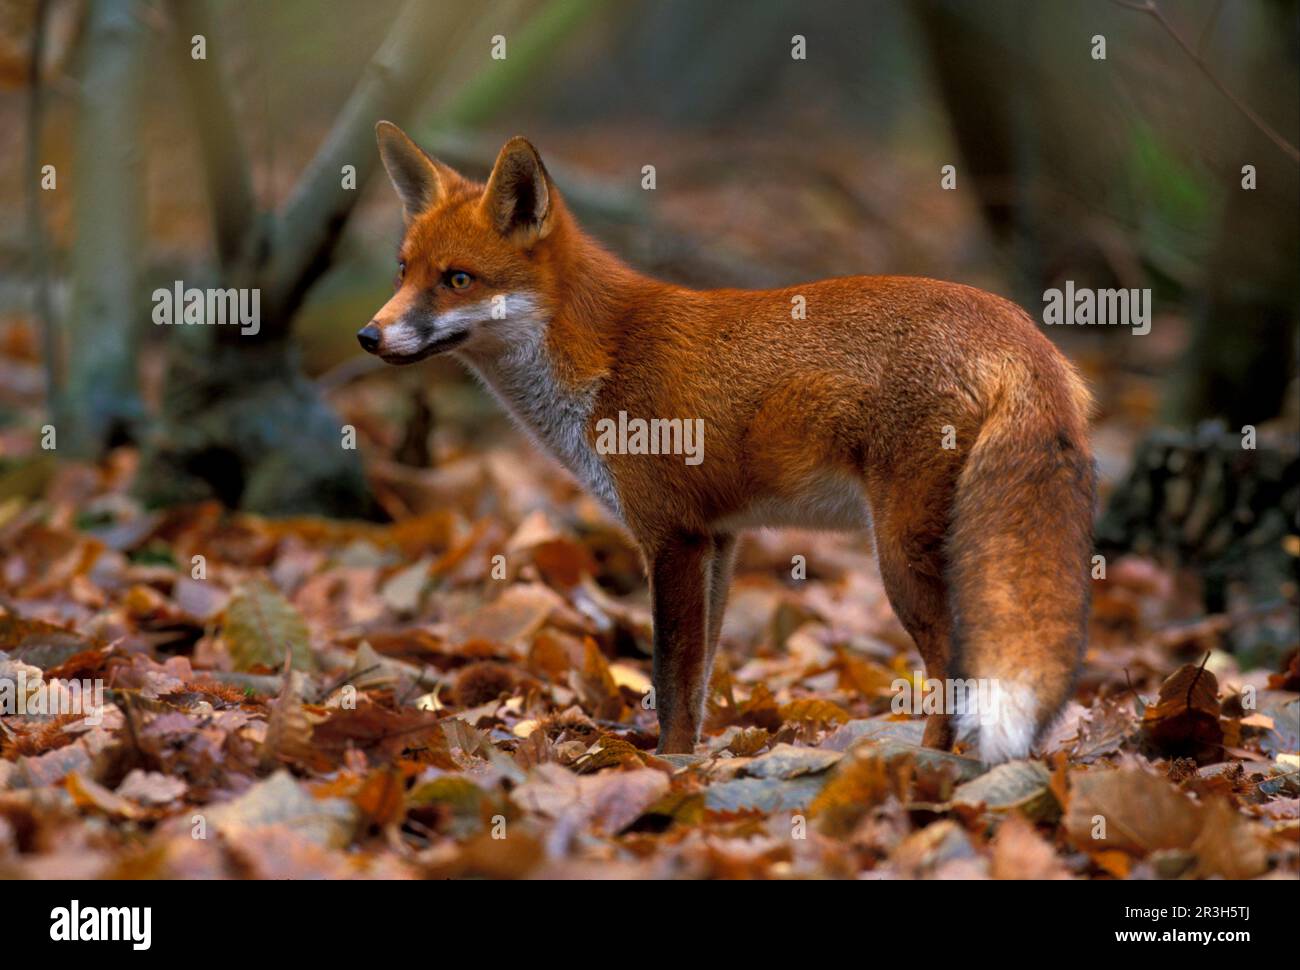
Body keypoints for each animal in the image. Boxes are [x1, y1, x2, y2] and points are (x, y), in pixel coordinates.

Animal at [362, 121, 1097, 763]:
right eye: (401, 271)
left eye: (457, 279)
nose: (369, 336)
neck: (602, 360)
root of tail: (1020, 329)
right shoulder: (719, 538)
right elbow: (701, 679)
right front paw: (688, 762)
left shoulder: (671, 537)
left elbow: (671, 682)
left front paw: (665, 769)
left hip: (900, 555)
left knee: (954, 664)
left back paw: (930, 761)